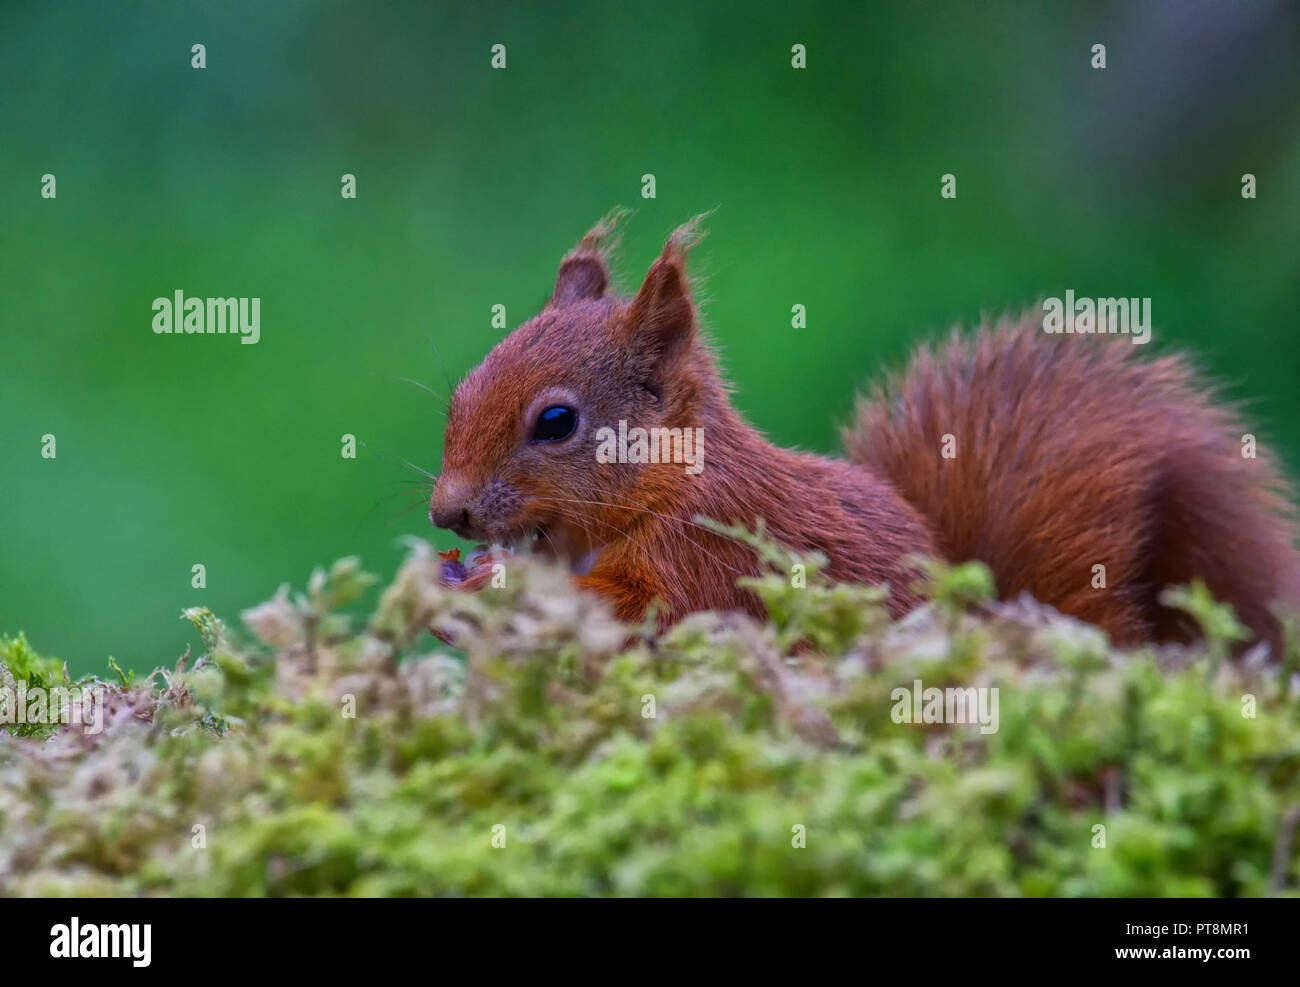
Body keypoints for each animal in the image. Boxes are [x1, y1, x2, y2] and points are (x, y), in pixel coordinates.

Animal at [430, 213, 1300, 654]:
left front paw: (491, 584)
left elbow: (641, 611)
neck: (669, 482)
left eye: (556, 421)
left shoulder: (713, 552)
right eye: (459, 393)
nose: (446, 513)